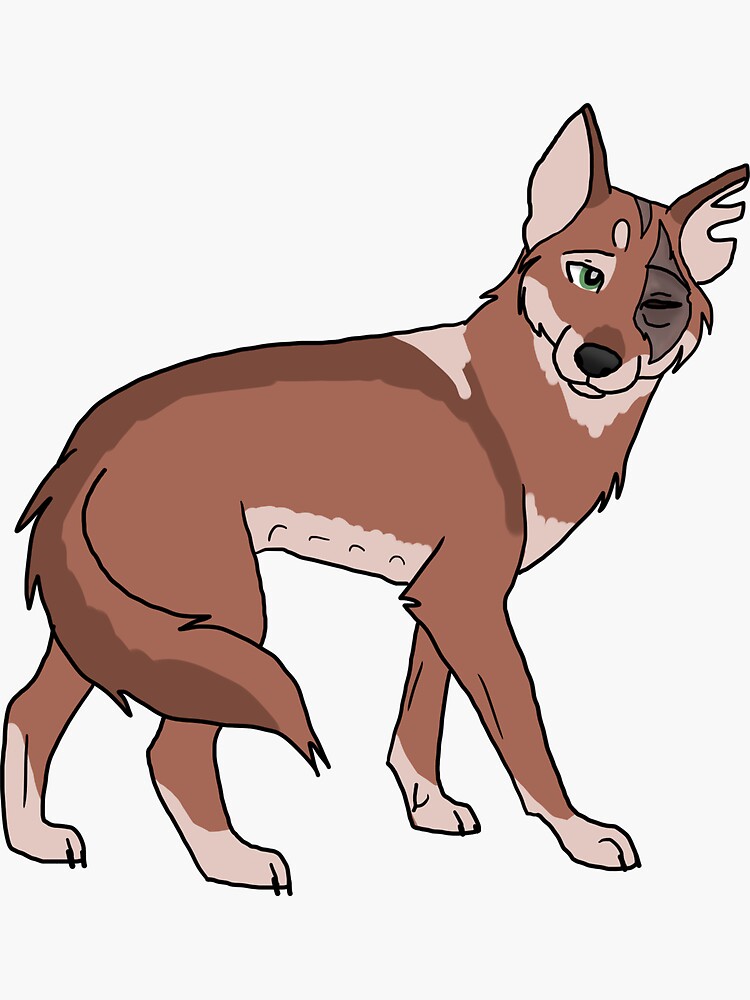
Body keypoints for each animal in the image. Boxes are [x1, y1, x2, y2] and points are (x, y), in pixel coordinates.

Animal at [3, 106, 745, 892]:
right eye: (586, 274)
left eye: (658, 306)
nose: (597, 360)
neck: (528, 410)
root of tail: (90, 434)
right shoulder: (468, 601)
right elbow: (525, 736)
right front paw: (578, 834)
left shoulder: (442, 597)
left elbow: (419, 722)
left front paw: (429, 808)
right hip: (227, 620)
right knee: (167, 755)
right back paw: (233, 861)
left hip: (131, 631)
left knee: (27, 712)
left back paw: (35, 840)